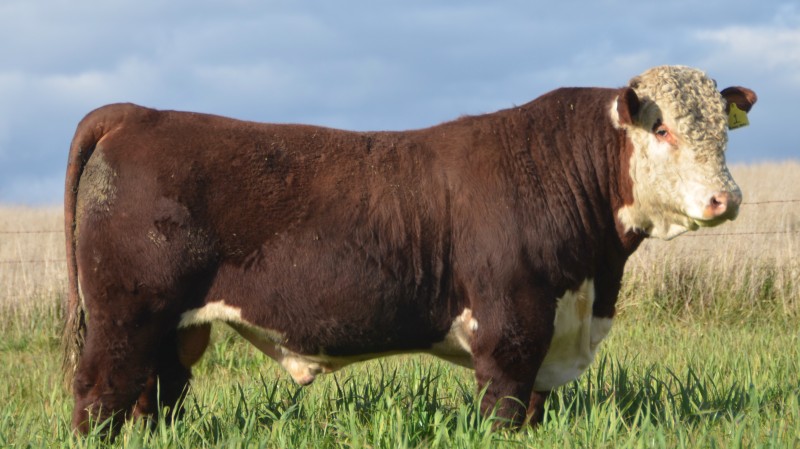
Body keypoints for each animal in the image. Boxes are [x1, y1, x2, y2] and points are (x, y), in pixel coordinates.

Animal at [63, 65, 756, 433]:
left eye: (724, 133)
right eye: (662, 129)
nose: (726, 199)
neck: (591, 291)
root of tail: (138, 113)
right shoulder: (511, 327)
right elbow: (504, 406)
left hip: (173, 329)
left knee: (153, 395)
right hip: (124, 315)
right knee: (99, 393)